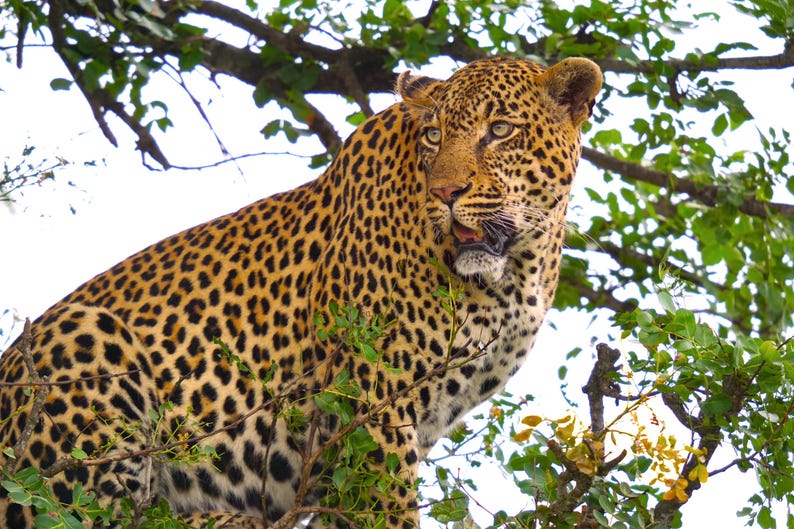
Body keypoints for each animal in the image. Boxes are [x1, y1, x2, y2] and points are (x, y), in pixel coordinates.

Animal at [0, 56, 601, 529]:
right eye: (434, 136)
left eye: (500, 130)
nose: (445, 193)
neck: (515, 269)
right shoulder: (375, 396)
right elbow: (387, 507)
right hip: (86, 339)